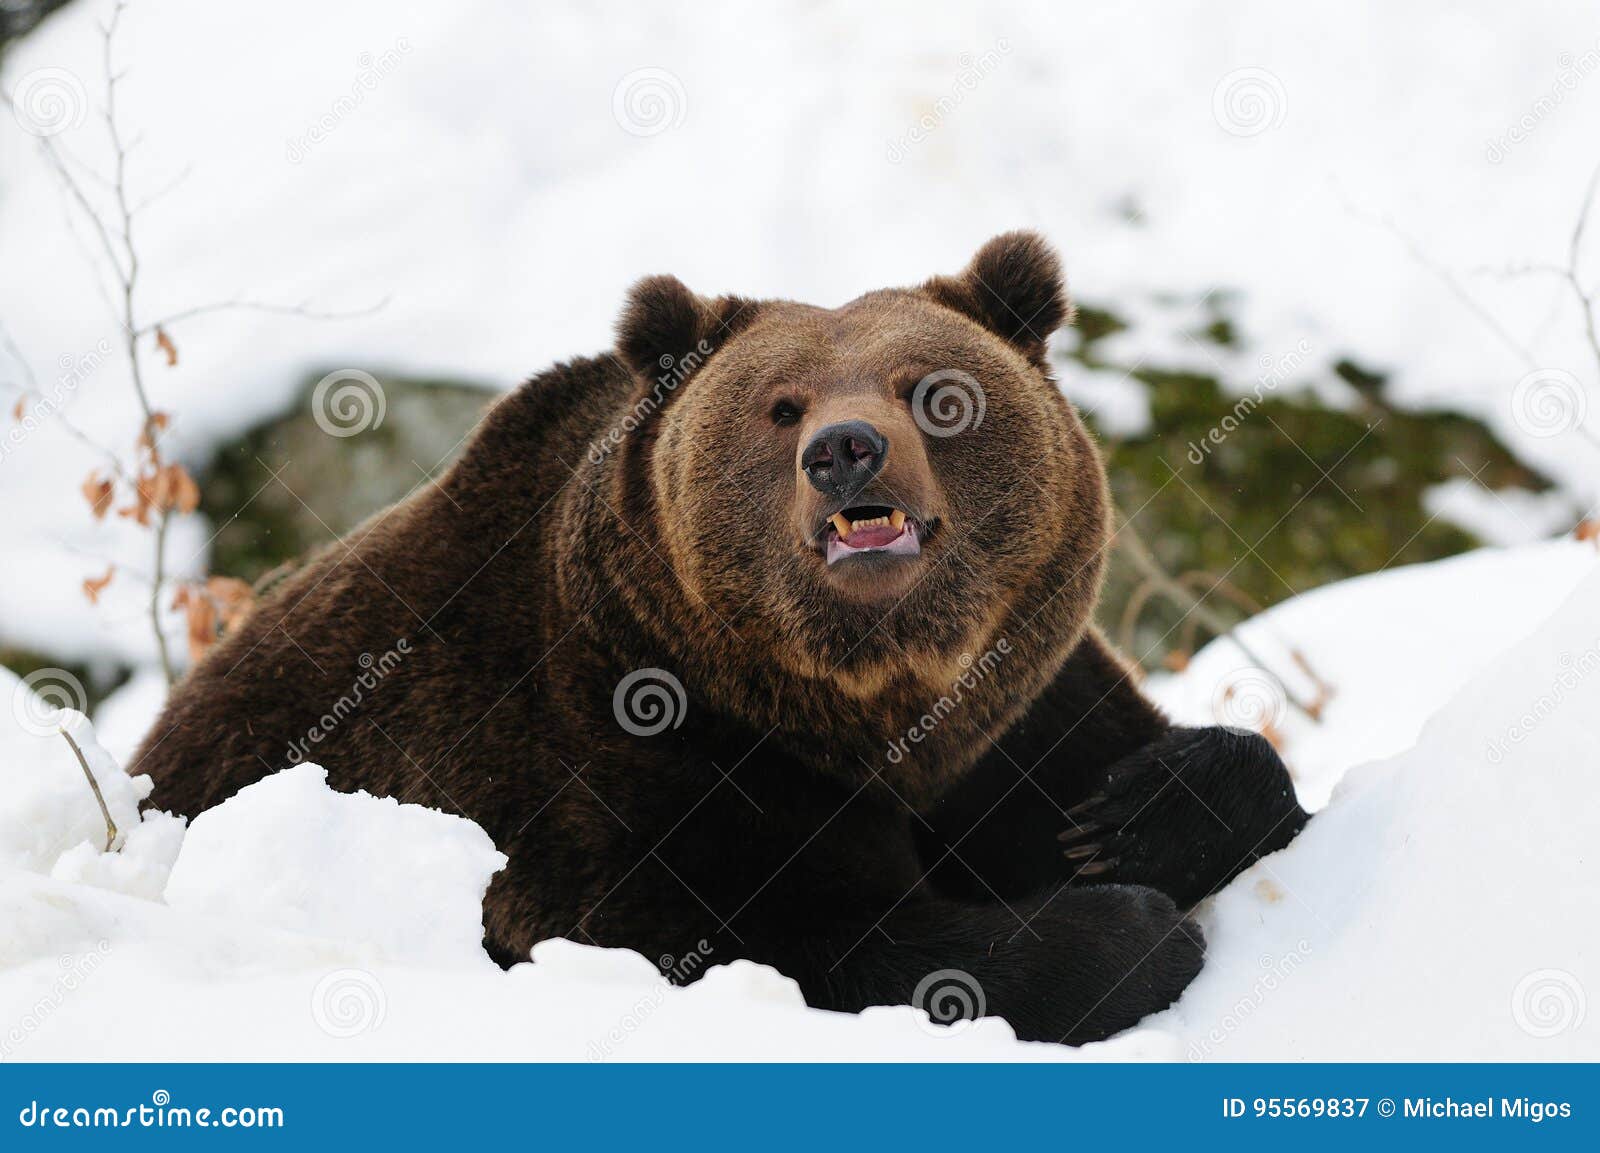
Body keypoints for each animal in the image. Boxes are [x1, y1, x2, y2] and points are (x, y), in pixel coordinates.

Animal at [134, 232, 1307, 1044]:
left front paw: (1133, 818)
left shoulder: (1017, 703)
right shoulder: (633, 752)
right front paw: (1127, 931)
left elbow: (1196, 777)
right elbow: (764, 935)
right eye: (780, 406)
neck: (866, 701)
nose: (845, 449)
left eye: (933, 391)